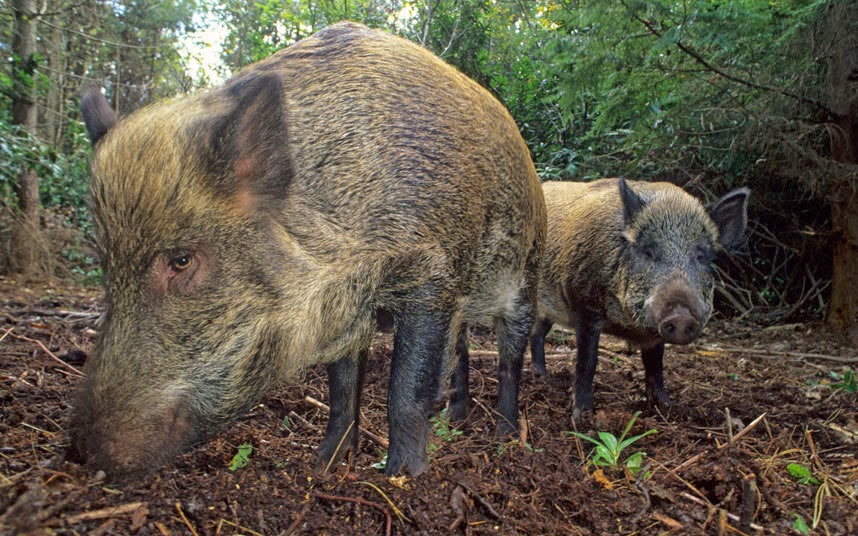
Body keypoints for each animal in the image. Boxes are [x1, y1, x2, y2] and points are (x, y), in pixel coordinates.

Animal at [69, 21, 546, 479]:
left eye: (181, 260)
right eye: (106, 265)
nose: (80, 454)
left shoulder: (431, 275)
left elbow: (406, 386)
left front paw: (402, 477)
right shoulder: (349, 311)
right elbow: (343, 387)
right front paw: (325, 465)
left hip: (526, 278)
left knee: (509, 360)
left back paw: (506, 435)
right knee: (461, 350)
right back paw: (455, 420)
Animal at [529, 179, 748, 420]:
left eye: (701, 256)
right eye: (648, 252)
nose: (681, 317)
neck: (628, 324)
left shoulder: (654, 333)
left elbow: (655, 365)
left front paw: (666, 406)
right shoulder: (583, 303)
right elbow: (587, 360)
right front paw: (582, 417)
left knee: (537, 332)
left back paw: (543, 376)